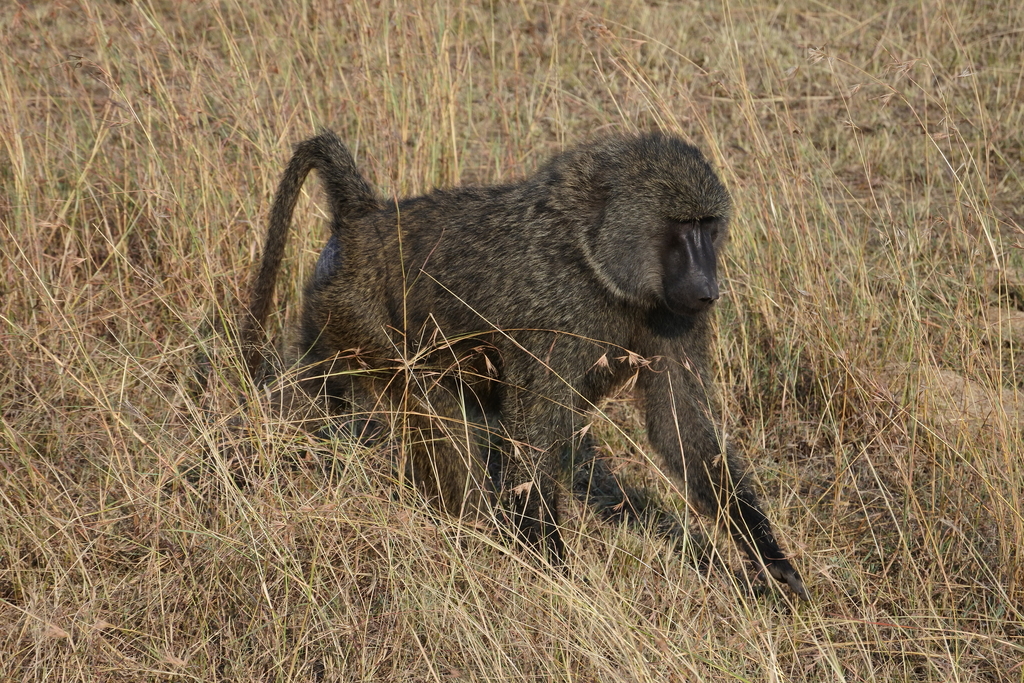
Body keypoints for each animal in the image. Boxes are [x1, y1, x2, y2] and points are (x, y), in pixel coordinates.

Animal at [243, 129, 809, 601]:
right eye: (682, 226)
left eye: (707, 226)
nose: (708, 289)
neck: (595, 258)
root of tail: (368, 218)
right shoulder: (555, 311)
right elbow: (532, 436)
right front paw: (559, 575)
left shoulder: (674, 319)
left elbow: (681, 428)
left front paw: (770, 556)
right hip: (359, 314)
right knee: (430, 408)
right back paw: (469, 534)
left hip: (330, 317)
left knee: (322, 395)